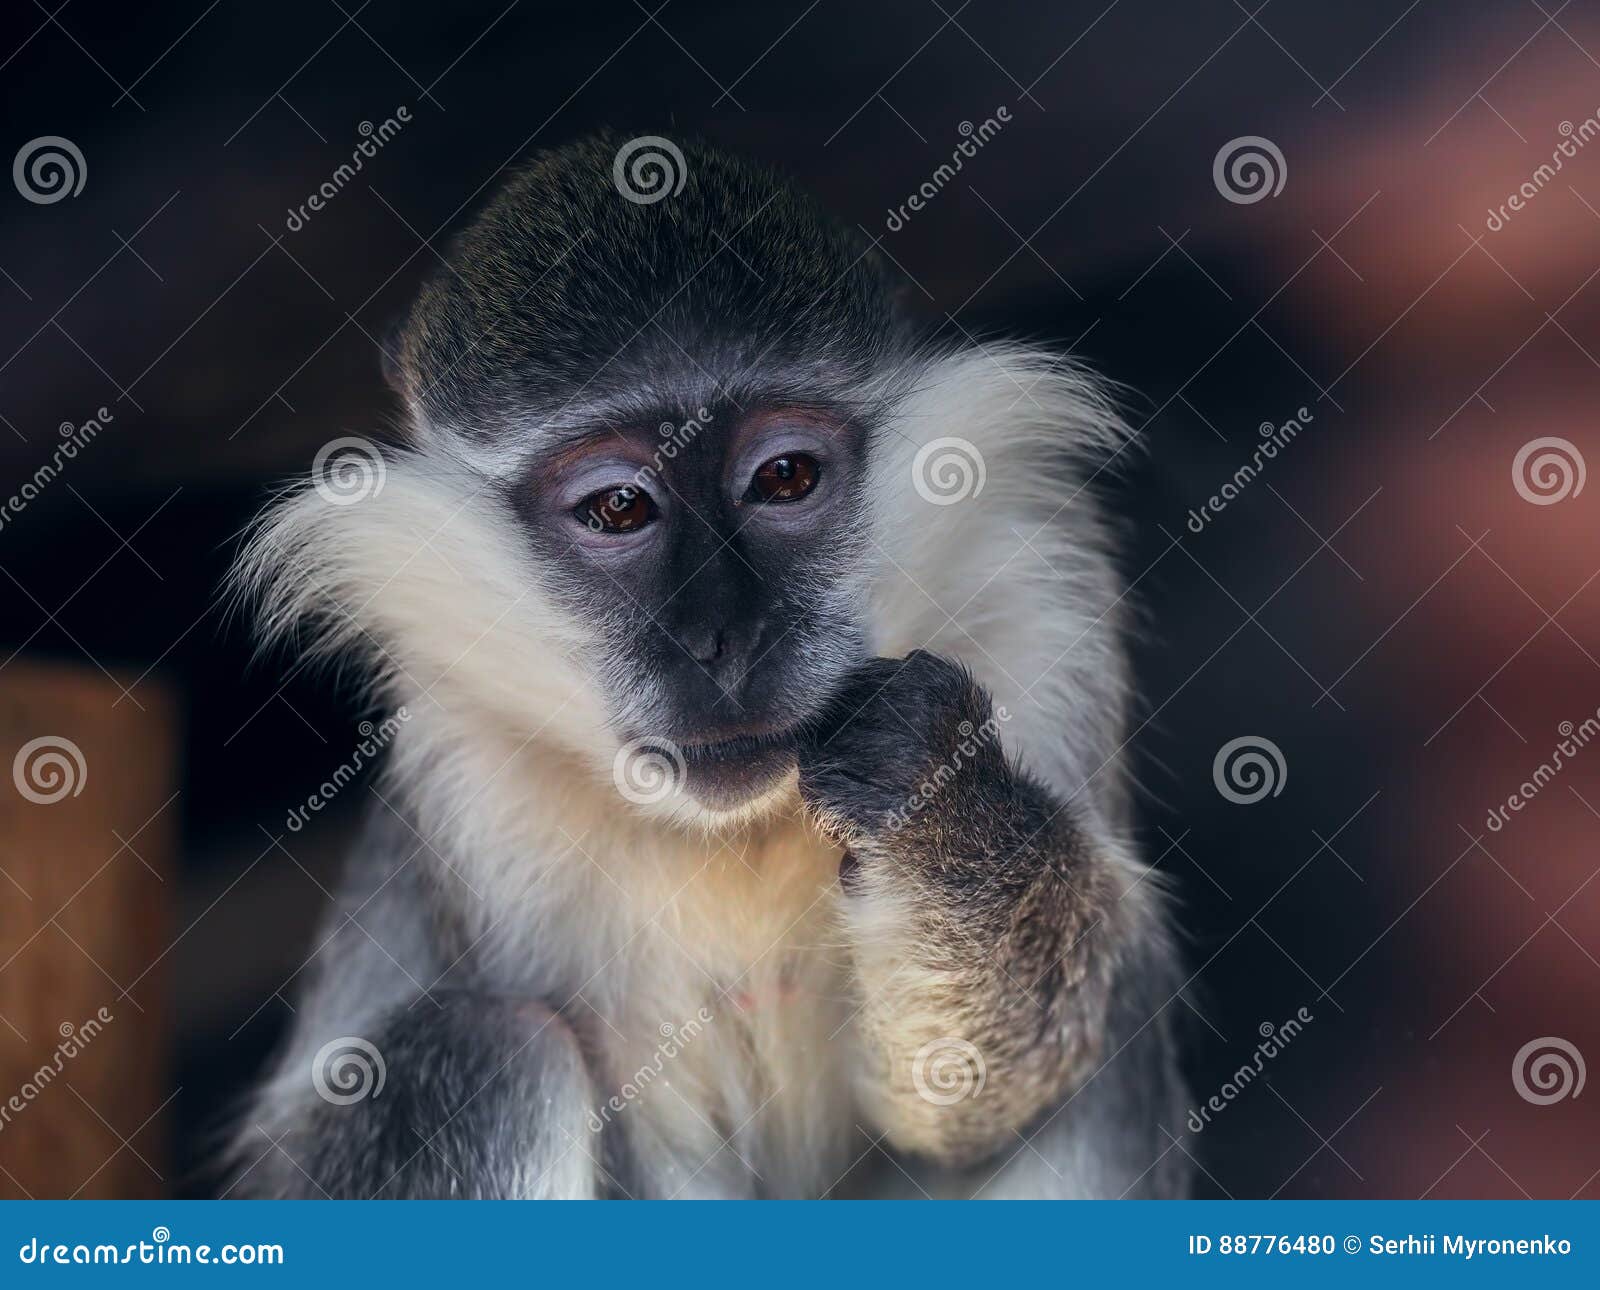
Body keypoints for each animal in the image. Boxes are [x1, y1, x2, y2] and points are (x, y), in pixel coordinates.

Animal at [227, 132, 1189, 1200]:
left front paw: (940, 793)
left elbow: (975, 1099)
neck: (740, 836)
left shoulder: (1041, 607)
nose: (723, 637)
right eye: (618, 508)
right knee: (492, 1052)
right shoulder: (472, 778)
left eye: (785, 478)